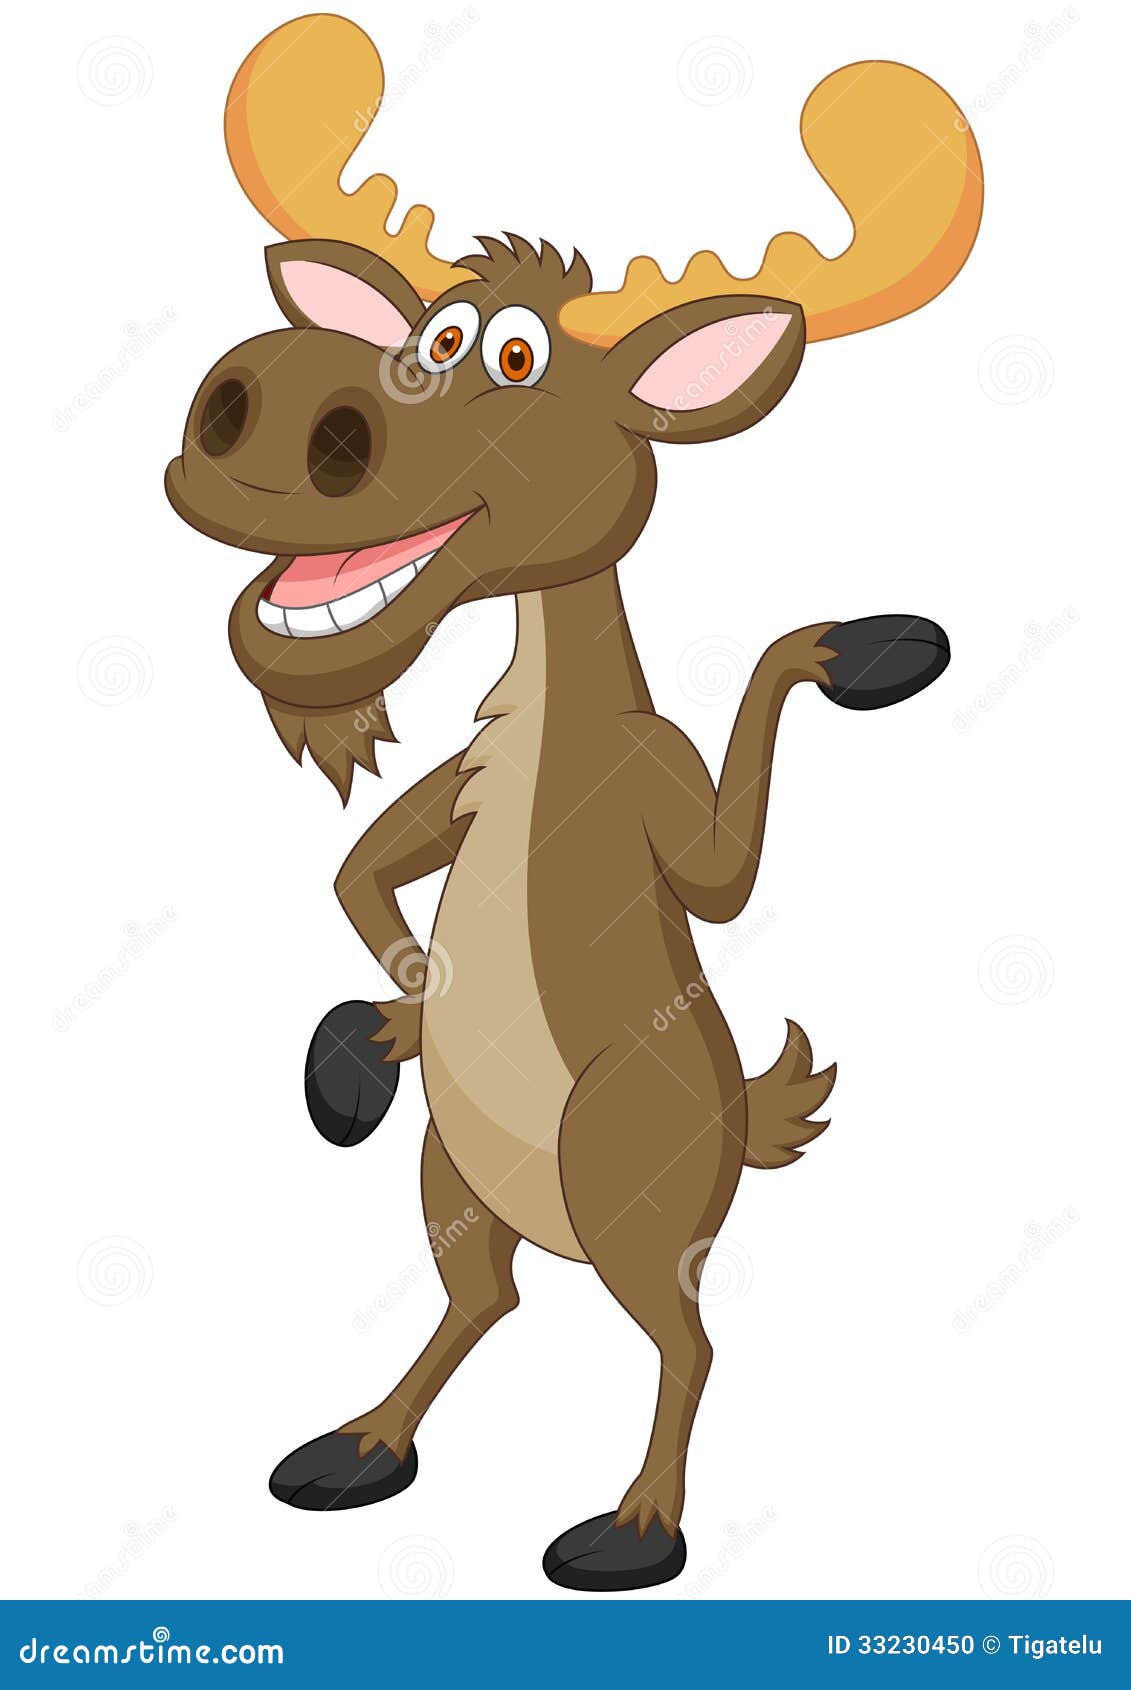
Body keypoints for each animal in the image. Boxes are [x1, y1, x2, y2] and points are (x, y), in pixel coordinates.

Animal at [165, 16, 981, 1590]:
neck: (553, 732)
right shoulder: (453, 791)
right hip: (454, 1177)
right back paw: (362, 1444)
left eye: (515, 358)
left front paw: (862, 648)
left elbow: (730, 849)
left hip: (623, 1174)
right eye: (429, 334)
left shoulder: (662, 788)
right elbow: (362, 881)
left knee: (687, 1336)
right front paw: (368, 1043)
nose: (265, 406)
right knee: (484, 1301)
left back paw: (636, 1524)